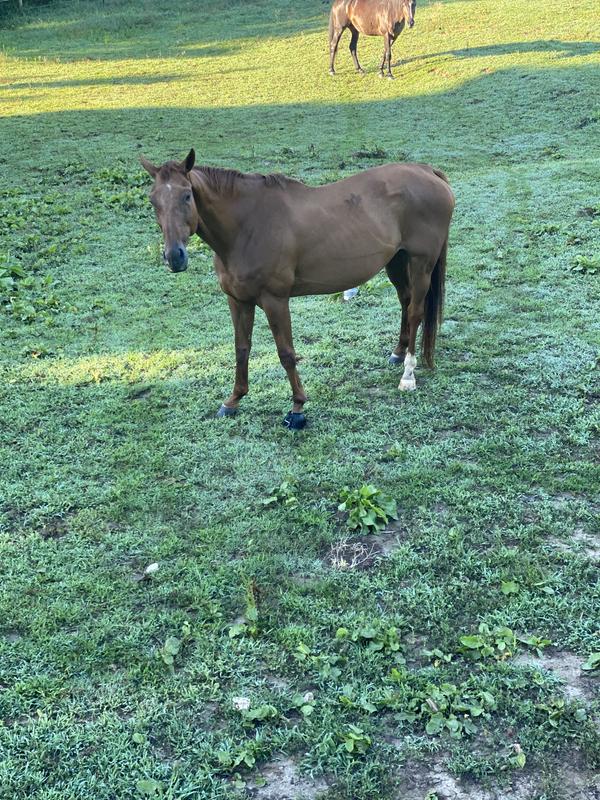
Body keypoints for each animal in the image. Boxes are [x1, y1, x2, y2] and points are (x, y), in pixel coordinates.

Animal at [140, 150, 454, 430]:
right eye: (153, 200)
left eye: (187, 195)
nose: (175, 257)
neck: (247, 226)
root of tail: (428, 171)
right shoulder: (238, 300)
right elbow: (241, 348)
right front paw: (233, 401)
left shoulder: (275, 300)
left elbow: (286, 354)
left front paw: (297, 409)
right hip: (396, 261)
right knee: (405, 301)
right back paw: (398, 353)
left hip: (421, 263)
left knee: (415, 312)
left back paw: (408, 375)